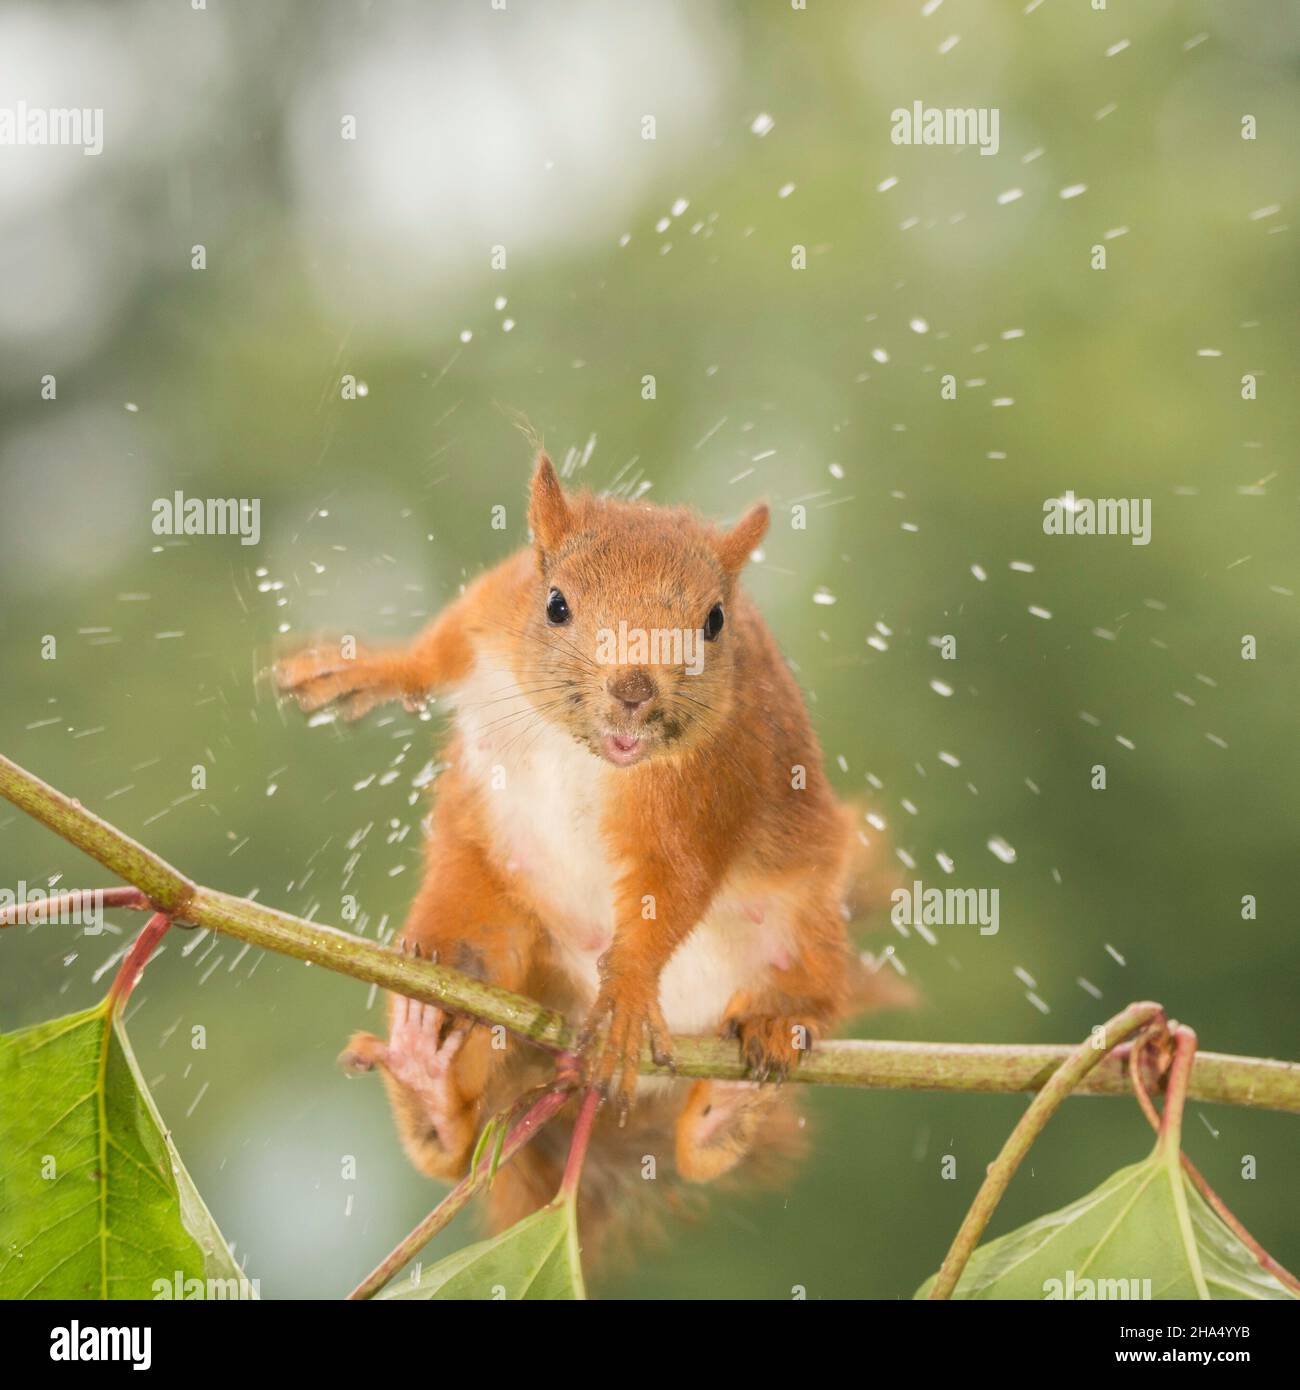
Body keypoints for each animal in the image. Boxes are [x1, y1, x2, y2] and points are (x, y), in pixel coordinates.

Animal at [277, 452, 905, 1258]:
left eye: (714, 622)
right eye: (556, 605)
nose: (634, 689)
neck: (588, 750)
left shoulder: (707, 790)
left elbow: (672, 888)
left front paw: (628, 994)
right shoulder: (495, 607)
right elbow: (439, 648)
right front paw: (363, 670)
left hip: (801, 930)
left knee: (732, 1105)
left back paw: (747, 1072)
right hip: (476, 921)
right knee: (452, 1125)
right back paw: (425, 1072)